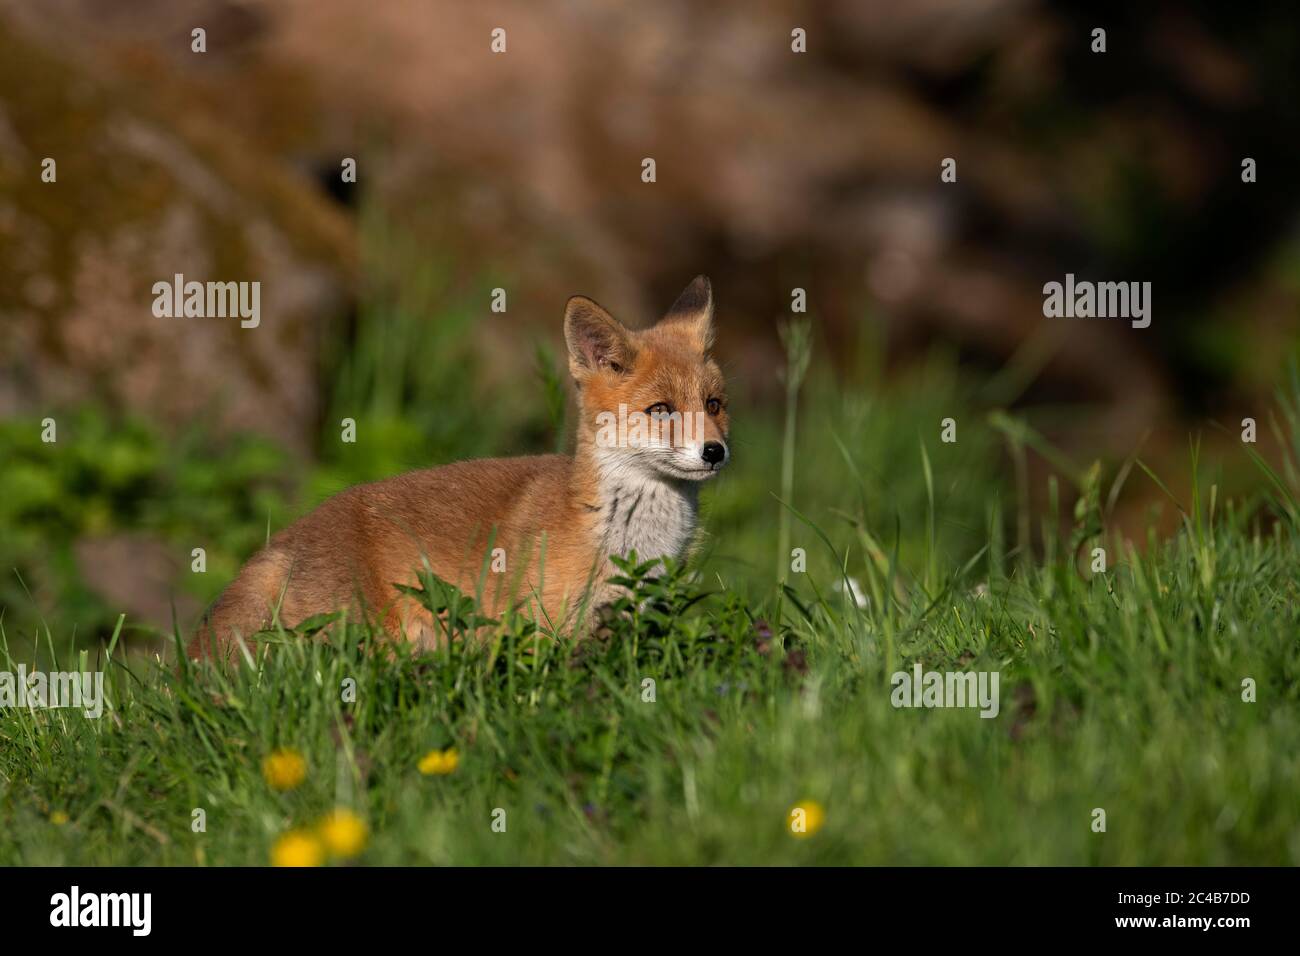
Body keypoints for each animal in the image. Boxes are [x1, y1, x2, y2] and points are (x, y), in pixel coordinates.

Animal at [188, 276, 730, 661]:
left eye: (714, 404)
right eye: (661, 410)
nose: (715, 451)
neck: (626, 535)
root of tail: (283, 541)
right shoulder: (541, 626)